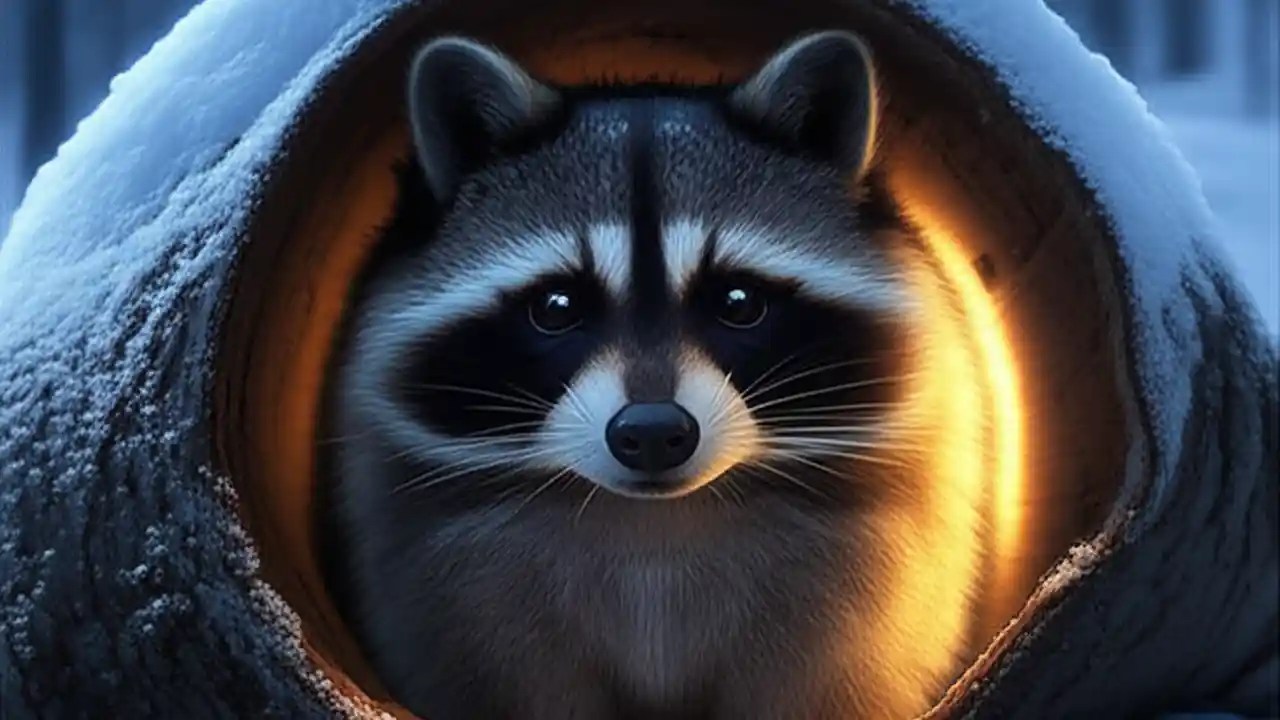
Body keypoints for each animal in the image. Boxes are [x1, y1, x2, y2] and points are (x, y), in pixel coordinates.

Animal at [321, 30, 982, 720]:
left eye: (738, 302)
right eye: (557, 306)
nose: (653, 432)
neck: (656, 521)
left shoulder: (851, 592)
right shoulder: (456, 588)